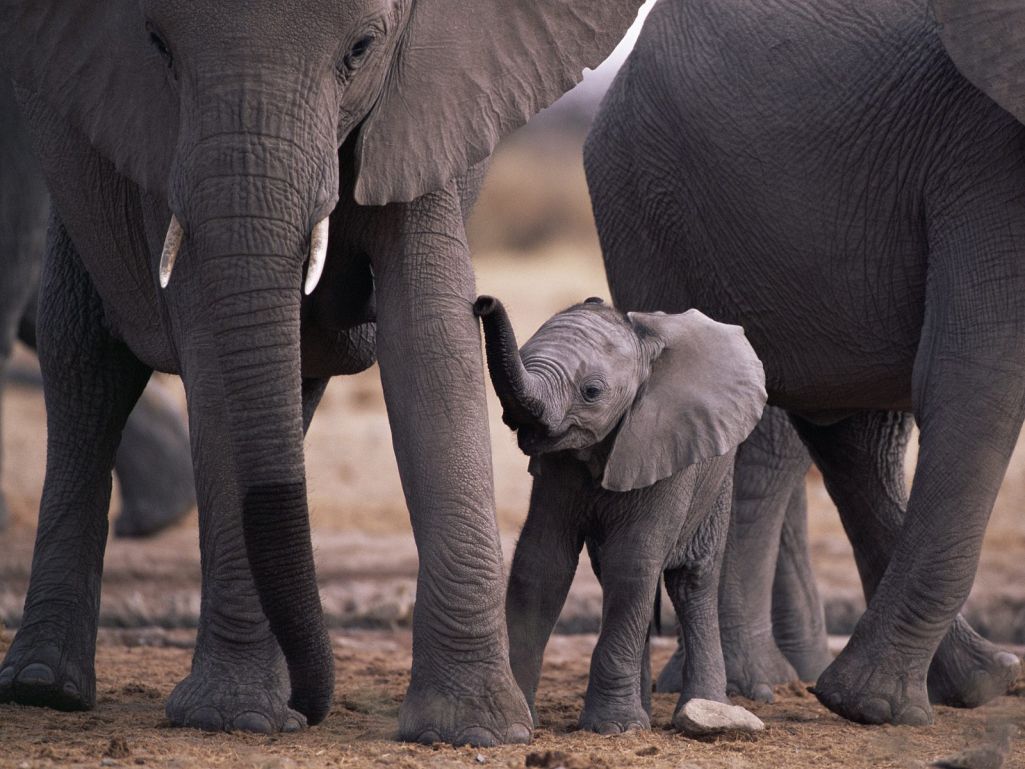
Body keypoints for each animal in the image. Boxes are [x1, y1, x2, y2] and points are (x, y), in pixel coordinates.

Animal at [475, 297, 766, 738]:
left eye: (592, 392)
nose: (483, 302)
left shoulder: (665, 443)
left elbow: (633, 562)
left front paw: (613, 728)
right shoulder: (558, 466)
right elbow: (540, 564)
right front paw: (524, 718)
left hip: (717, 480)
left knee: (690, 581)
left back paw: (702, 708)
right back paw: (643, 712)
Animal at [586, 0, 1025, 730]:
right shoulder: (987, 154)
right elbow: (979, 382)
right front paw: (870, 709)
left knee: (857, 434)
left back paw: (978, 679)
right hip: (646, 201)